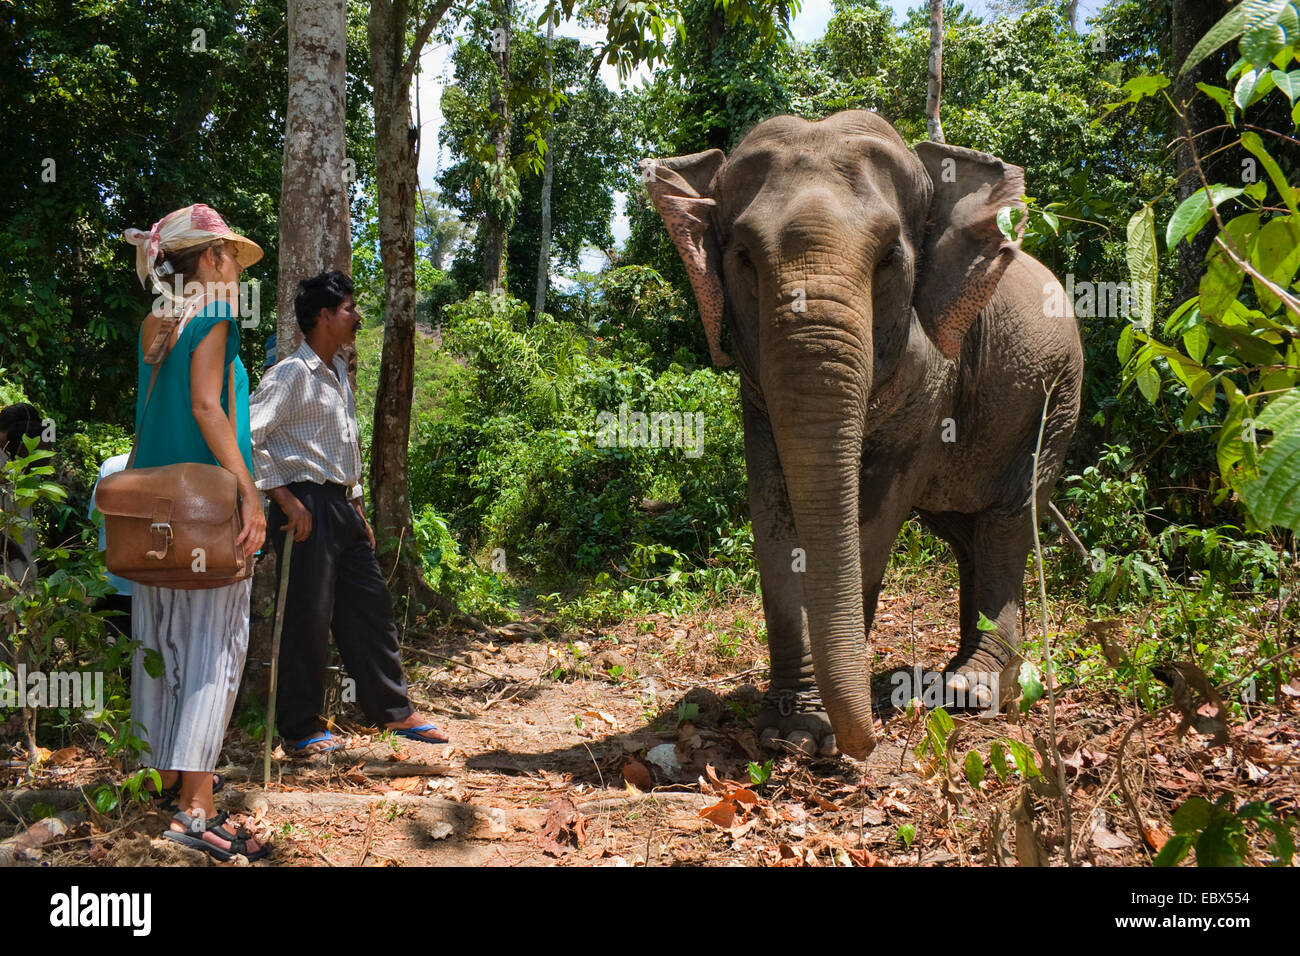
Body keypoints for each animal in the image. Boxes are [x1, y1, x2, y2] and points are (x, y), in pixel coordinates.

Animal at [641, 110, 1083, 760]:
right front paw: (790, 731)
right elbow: (770, 508)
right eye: (742, 257)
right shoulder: (756, 387)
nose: (869, 742)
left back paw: (972, 691)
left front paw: (818, 731)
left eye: (890, 260)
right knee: (965, 532)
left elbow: (874, 511)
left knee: (1008, 519)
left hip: (1057, 398)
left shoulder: (934, 370)